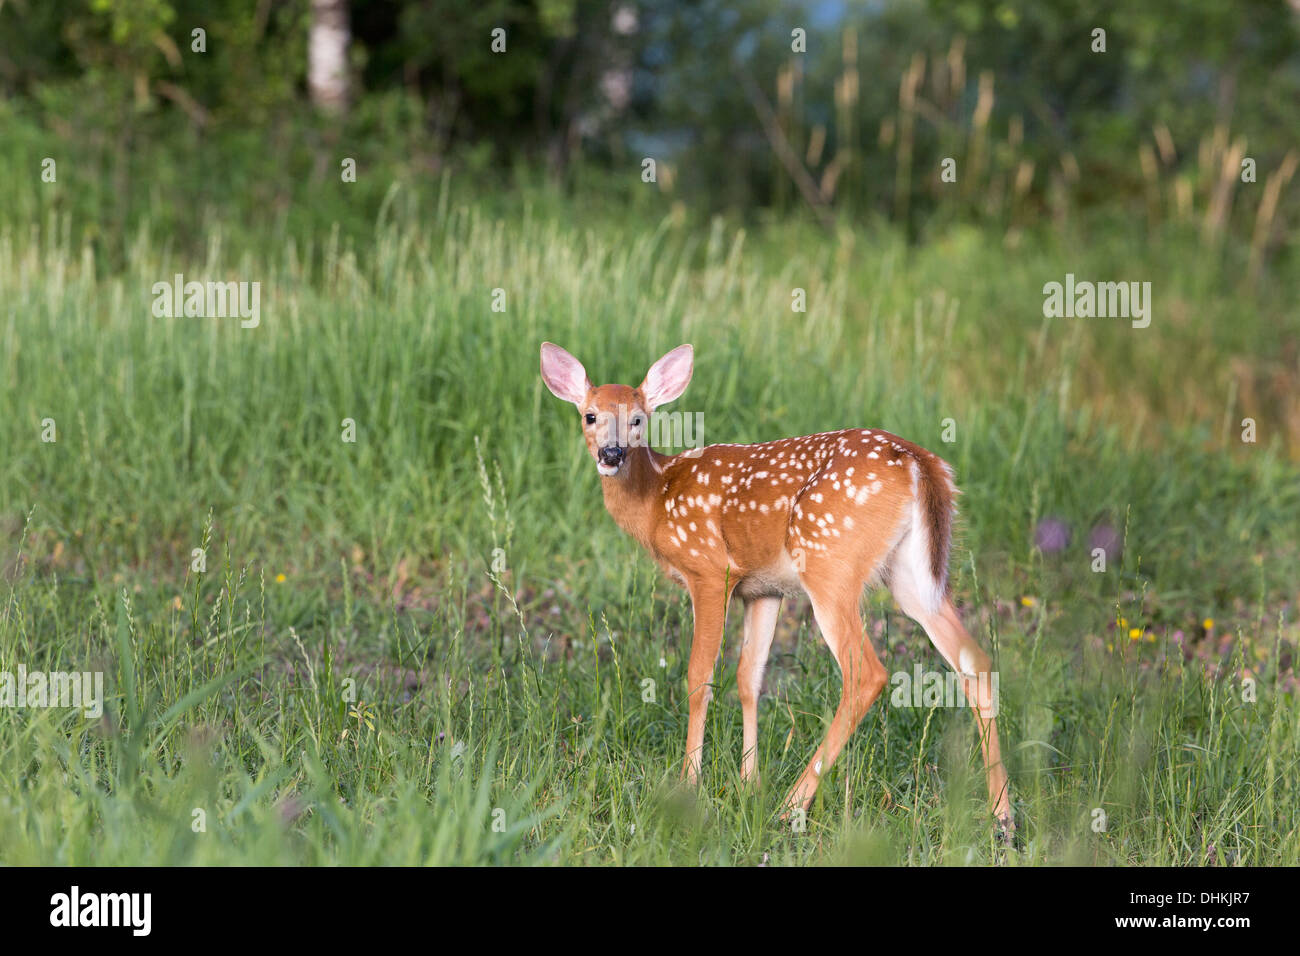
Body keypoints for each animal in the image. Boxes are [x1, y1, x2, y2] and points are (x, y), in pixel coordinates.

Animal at [540, 342, 1013, 834]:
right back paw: (1002, 816)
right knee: (975, 661)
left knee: (867, 673)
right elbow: (749, 678)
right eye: (590, 415)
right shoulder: (762, 589)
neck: (657, 499)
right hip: (912, 576)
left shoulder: (709, 570)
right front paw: (749, 781)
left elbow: (699, 677)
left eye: (638, 418)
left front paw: (690, 784)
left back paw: (792, 805)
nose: (611, 454)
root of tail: (921, 463)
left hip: (830, 563)